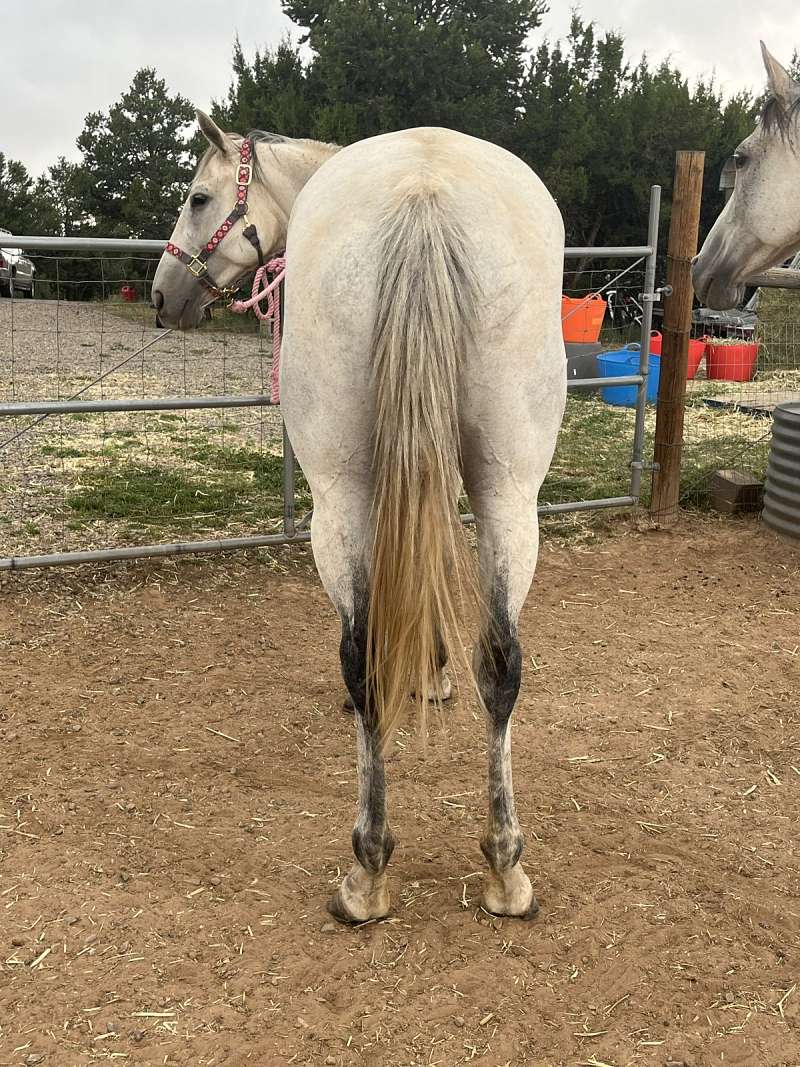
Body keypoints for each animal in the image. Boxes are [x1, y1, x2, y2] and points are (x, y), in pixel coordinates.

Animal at [152, 112, 566, 924]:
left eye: (197, 197)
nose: (163, 295)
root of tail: (425, 193)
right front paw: (435, 672)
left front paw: (426, 674)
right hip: (510, 488)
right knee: (502, 661)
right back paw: (505, 867)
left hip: (337, 494)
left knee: (362, 661)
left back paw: (366, 872)